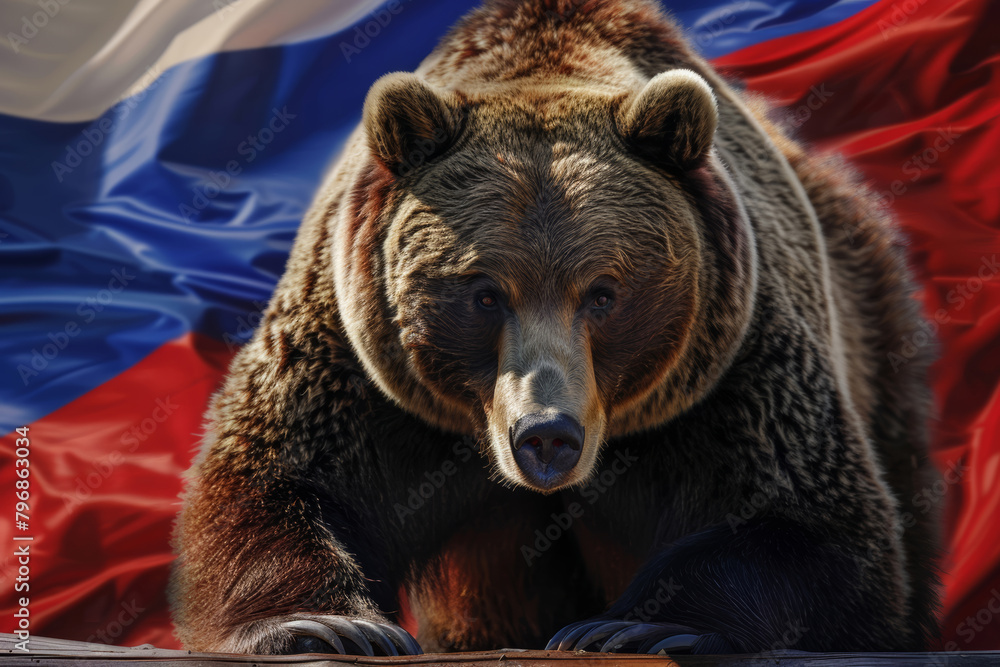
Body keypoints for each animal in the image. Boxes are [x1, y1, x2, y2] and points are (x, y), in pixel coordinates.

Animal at [170, 0, 941, 656]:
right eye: (484, 293)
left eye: (603, 292)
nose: (546, 434)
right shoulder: (354, 360)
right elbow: (275, 479)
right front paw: (325, 624)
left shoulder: (732, 368)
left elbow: (815, 527)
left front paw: (639, 626)